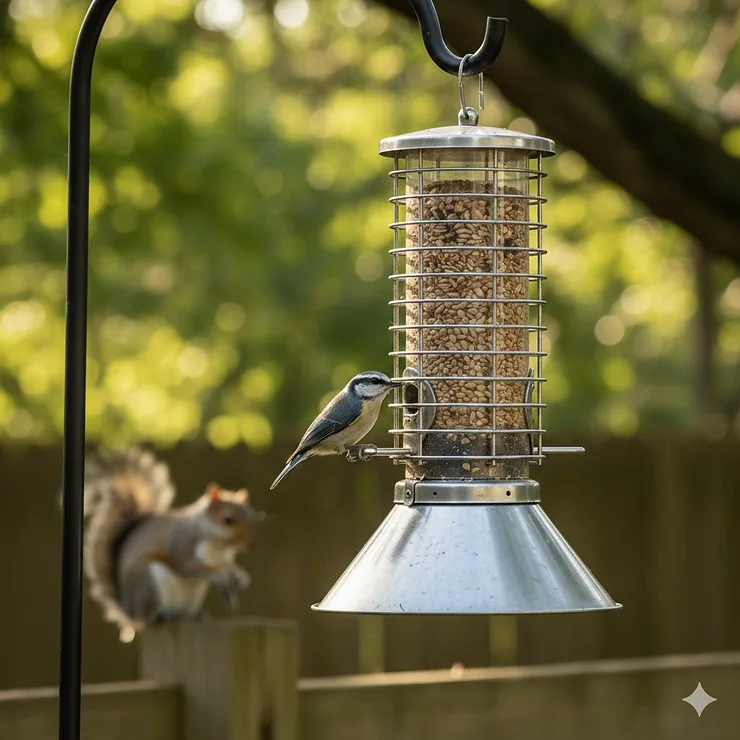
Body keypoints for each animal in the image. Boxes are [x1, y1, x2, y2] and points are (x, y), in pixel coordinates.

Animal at [81, 447, 263, 643]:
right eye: (228, 520)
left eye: (252, 516)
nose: (253, 543)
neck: (218, 545)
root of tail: (129, 613)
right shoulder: (181, 544)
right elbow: (188, 567)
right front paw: (223, 576)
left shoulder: (224, 557)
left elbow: (228, 565)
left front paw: (239, 577)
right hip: (150, 584)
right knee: (149, 618)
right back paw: (163, 615)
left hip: (194, 595)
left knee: (183, 612)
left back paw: (191, 616)